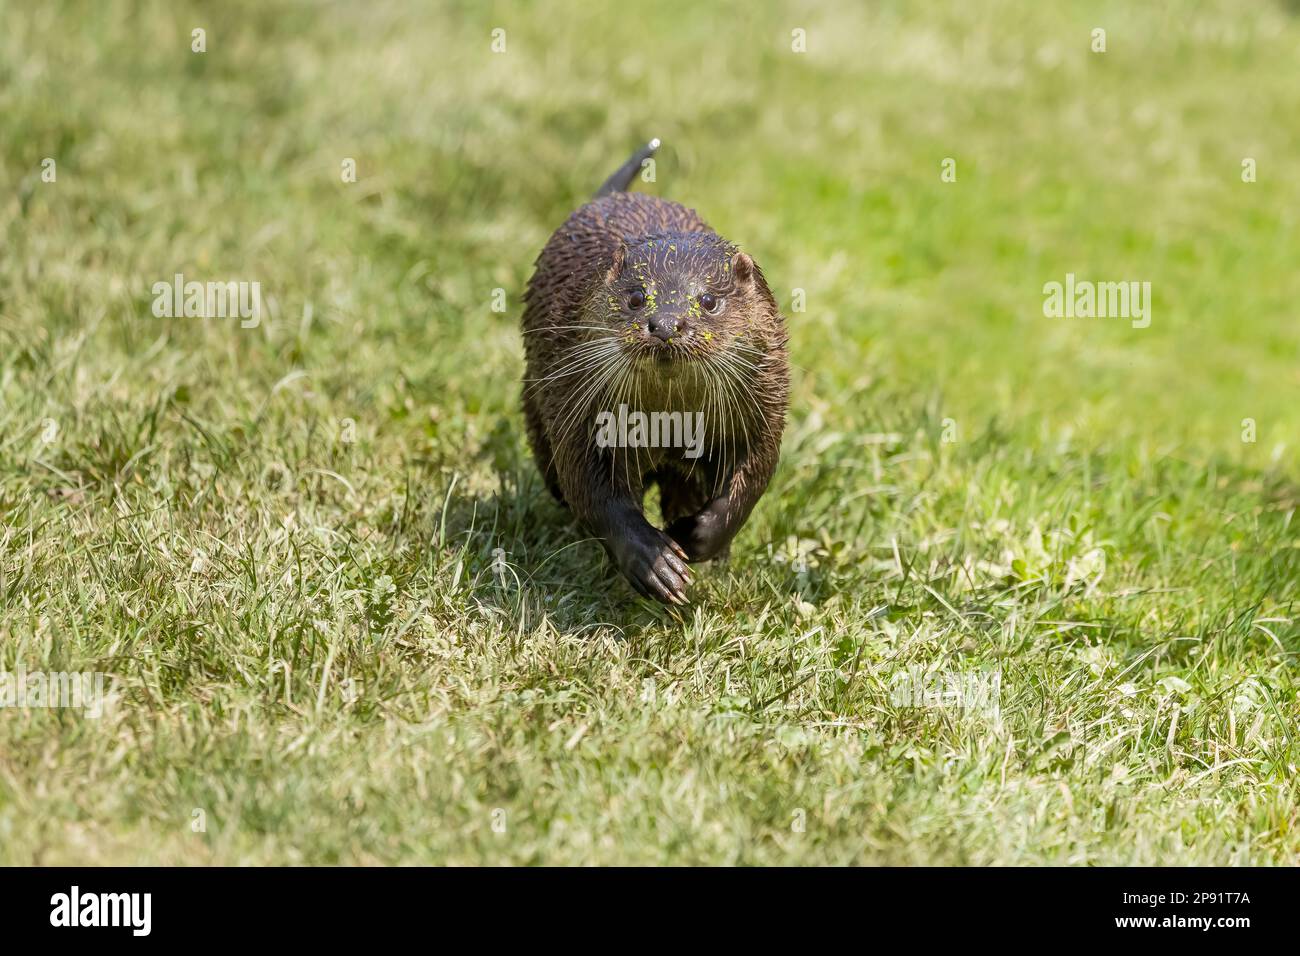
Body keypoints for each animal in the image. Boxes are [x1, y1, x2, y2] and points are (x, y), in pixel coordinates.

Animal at [521, 140, 789, 604]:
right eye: (635, 297)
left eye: (708, 301)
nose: (665, 323)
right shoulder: (576, 408)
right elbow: (593, 492)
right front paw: (657, 562)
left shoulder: (764, 408)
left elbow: (751, 481)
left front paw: (696, 535)